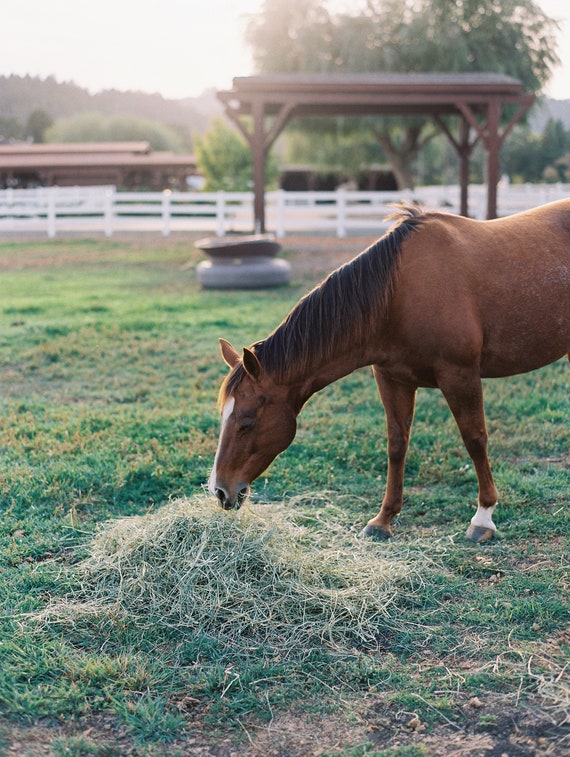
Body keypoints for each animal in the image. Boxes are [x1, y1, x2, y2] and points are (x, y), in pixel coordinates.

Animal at [209, 200, 570, 543]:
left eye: (246, 423)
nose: (220, 490)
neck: (397, 295)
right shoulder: (391, 379)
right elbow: (397, 445)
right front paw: (383, 520)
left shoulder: (460, 375)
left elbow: (475, 439)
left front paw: (483, 518)